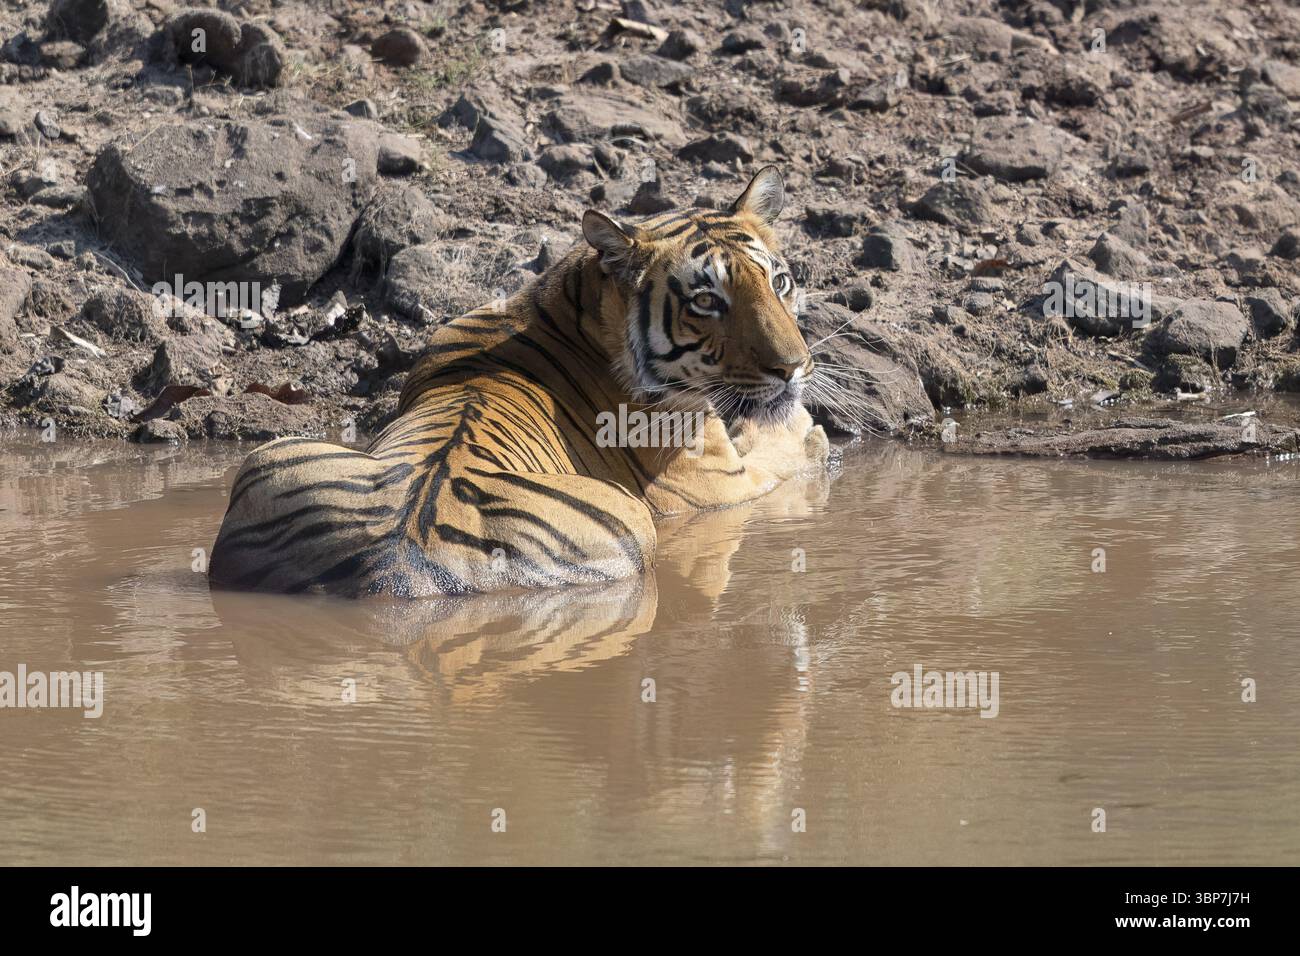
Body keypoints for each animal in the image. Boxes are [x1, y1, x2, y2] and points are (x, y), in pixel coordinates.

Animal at [208, 165, 829, 598]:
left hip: (272, 455)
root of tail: (401, 560)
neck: (568, 304)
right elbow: (782, 459)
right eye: (706, 301)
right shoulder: (714, 485)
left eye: (780, 281)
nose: (793, 365)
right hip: (633, 519)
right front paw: (808, 431)